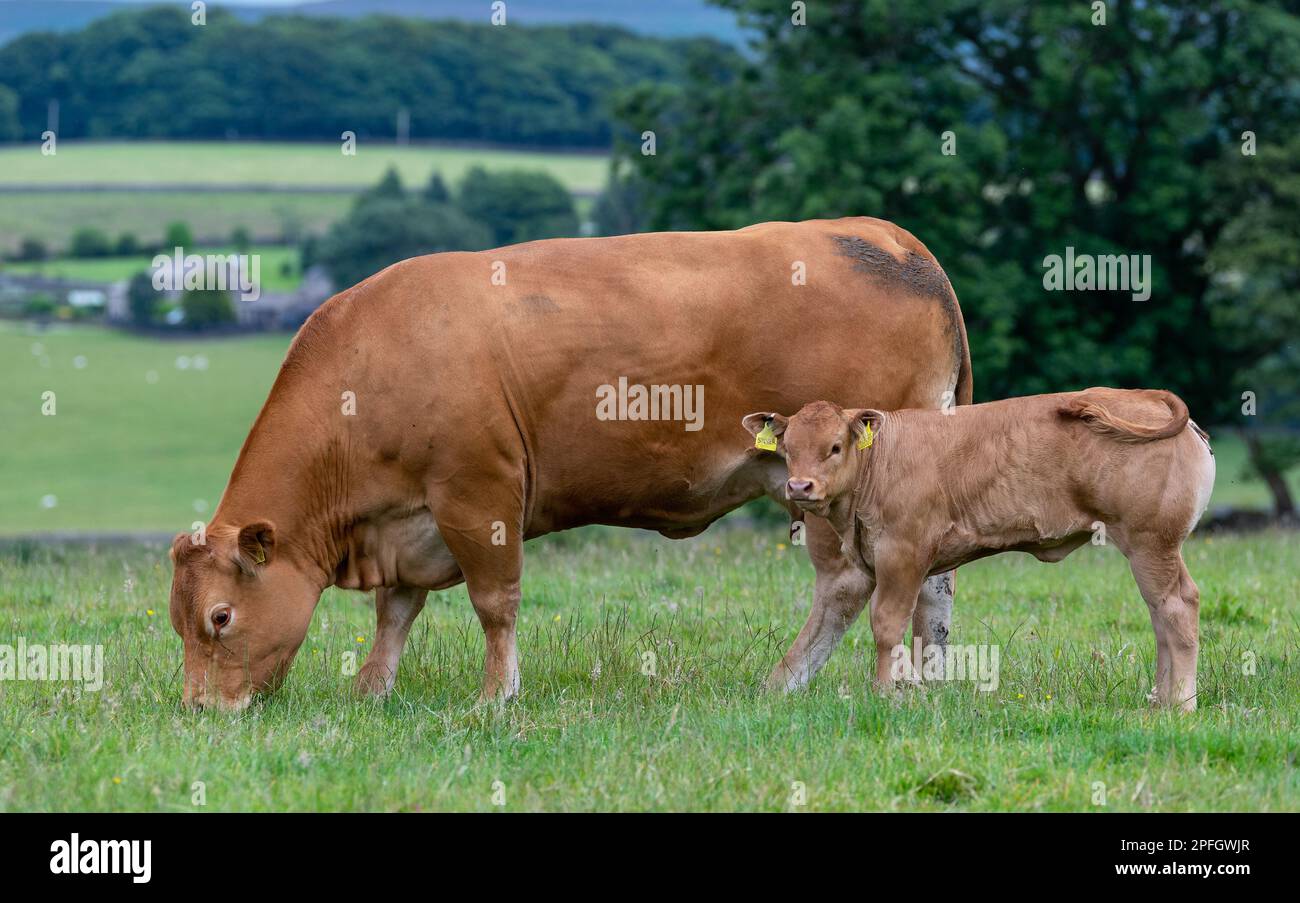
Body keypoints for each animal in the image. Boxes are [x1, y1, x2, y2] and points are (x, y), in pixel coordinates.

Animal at [168, 217, 973, 709]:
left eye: (219, 616)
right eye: (178, 622)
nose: (201, 710)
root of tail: (888, 238)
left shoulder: (477, 491)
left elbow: (494, 602)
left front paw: (496, 696)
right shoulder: (408, 518)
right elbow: (396, 609)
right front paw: (373, 688)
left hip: (828, 488)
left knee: (849, 584)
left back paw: (785, 681)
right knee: (931, 583)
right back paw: (929, 681)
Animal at [741, 387, 1215, 711]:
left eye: (835, 447)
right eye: (789, 450)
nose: (799, 486)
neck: (879, 465)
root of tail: (1142, 396)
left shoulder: (902, 553)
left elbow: (886, 625)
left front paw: (886, 694)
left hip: (1152, 543)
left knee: (1177, 607)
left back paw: (1181, 704)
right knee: (1161, 613)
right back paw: (1160, 699)